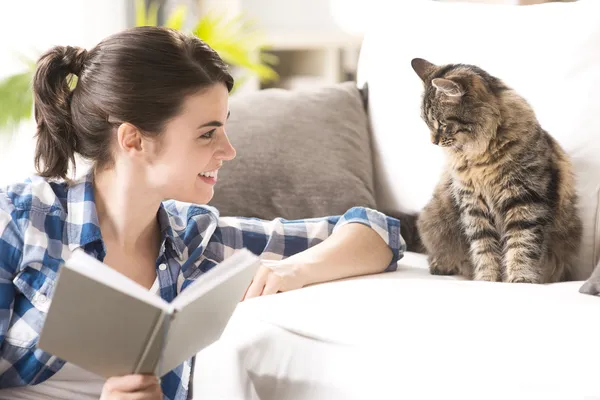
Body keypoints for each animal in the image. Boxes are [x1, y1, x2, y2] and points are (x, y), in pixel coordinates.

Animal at [412, 57, 580, 284]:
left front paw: (520, 279)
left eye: (442, 124)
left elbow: (521, 244)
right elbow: (484, 247)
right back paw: (440, 266)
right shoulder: (473, 204)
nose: (433, 142)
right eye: (427, 123)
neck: (480, 157)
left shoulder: (524, 199)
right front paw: (487, 279)